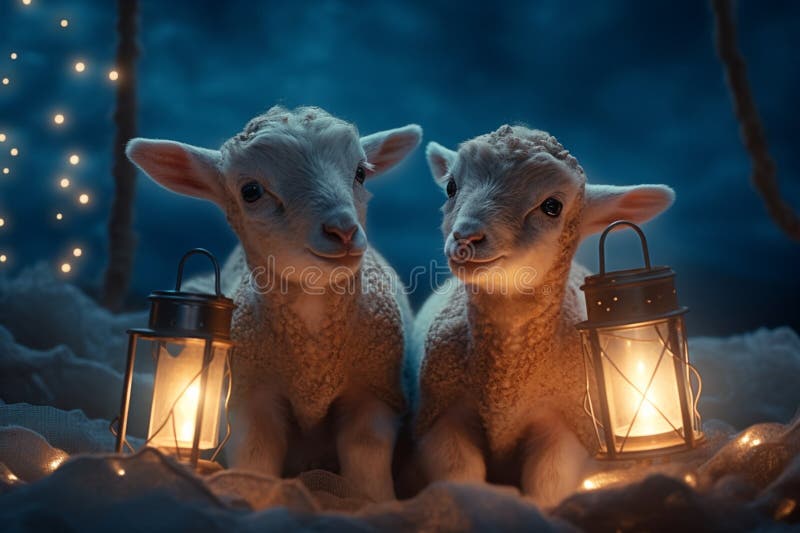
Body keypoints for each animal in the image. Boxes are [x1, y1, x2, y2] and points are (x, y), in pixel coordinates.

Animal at [126, 105, 422, 501]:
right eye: (251, 191)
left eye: (360, 172)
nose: (343, 231)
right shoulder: (250, 395)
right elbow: (255, 456)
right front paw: (252, 493)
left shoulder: (375, 391)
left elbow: (366, 457)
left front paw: (375, 502)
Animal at [413, 125, 675, 507]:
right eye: (451, 187)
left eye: (552, 206)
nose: (465, 238)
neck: (505, 387)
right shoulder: (439, 415)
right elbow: (460, 477)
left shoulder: (566, 423)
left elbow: (548, 484)